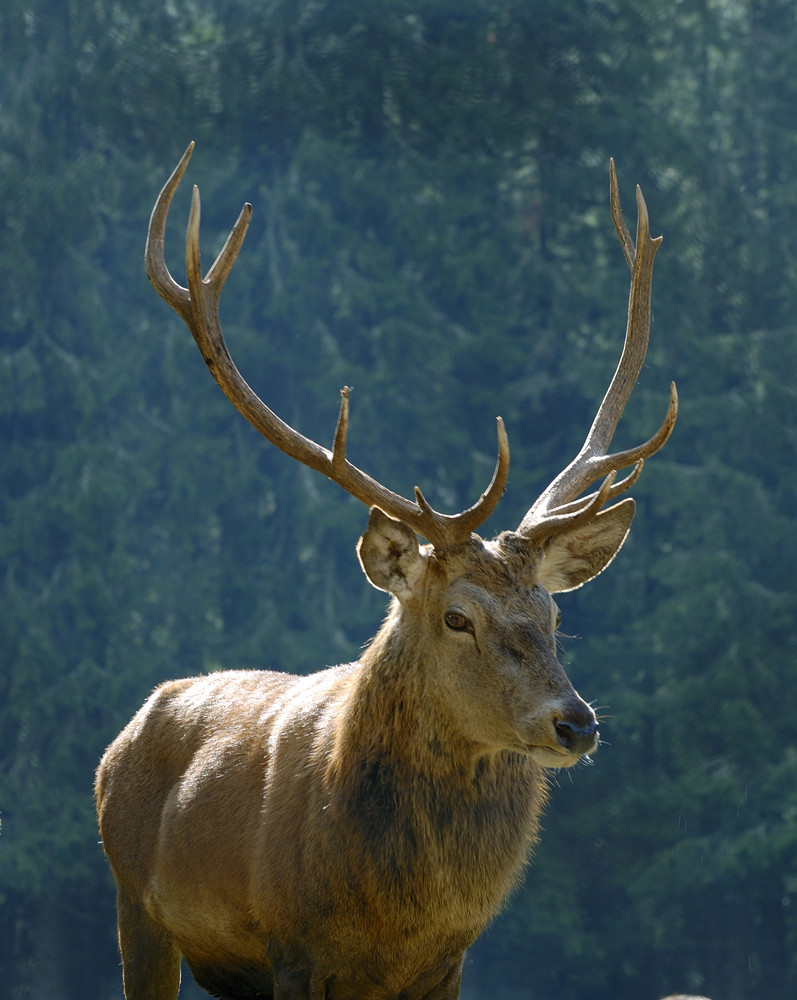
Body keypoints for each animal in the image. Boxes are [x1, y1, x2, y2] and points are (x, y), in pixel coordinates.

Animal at [95, 144, 677, 1000]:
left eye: (554, 614)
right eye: (456, 616)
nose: (575, 722)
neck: (394, 913)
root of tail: (122, 739)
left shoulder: (448, 959)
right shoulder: (292, 946)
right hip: (134, 904)